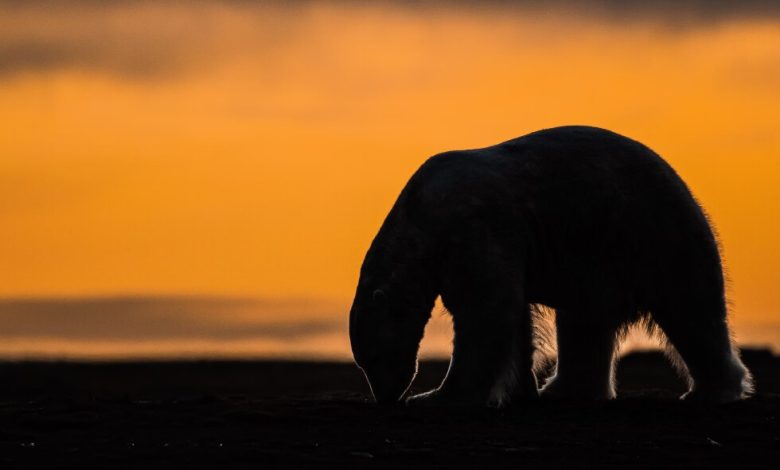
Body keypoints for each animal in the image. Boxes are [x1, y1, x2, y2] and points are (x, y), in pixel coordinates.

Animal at [349, 125, 752, 407]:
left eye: (372, 357)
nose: (386, 395)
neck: (422, 218)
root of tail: (682, 184)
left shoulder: (474, 225)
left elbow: (485, 311)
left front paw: (437, 395)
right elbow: (514, 318)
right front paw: (520, 389)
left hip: (654, 235)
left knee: (690, 310)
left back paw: (711, 391)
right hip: (596, 260)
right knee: (584, 325)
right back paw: (564, 389)